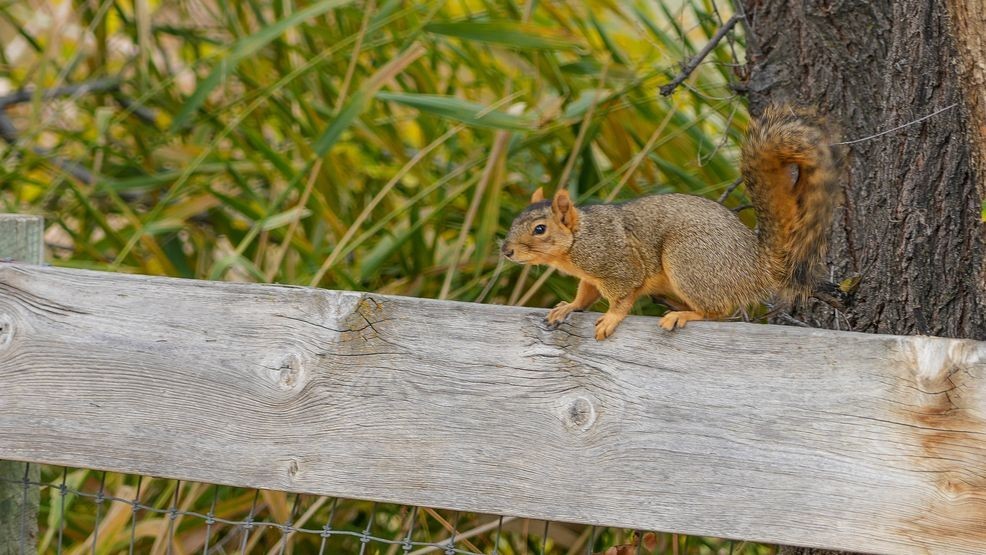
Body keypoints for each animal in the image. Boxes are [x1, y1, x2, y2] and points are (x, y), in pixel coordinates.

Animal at [500, 105, 843, 340]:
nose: (506, 251)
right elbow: (585, 295)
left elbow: (623, 295)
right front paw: (569, 306)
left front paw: (611, 318)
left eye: (540, 229)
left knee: (719, 312)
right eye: (516, 221)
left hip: (689, 260)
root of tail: (757, 266)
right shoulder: (591, 276)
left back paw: (684, 315)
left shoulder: (616, 262)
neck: (580, 238)